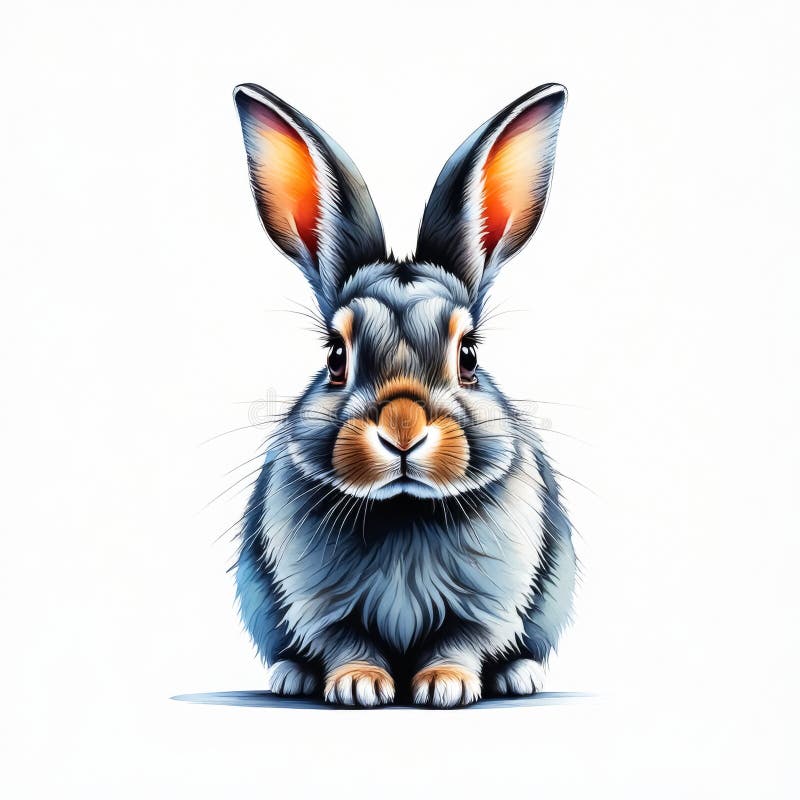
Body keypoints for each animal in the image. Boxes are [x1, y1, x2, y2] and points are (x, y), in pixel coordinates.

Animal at [232, 82, 576, 708]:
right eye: (335, 358)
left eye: (469, 357)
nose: (402, 428)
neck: (404, 511)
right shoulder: (323, 607)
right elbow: (348, 640)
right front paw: (359, 686)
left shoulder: (486, 605)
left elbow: (459, 641)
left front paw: (445, 686)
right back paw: (292, 677)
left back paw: (520, 676)